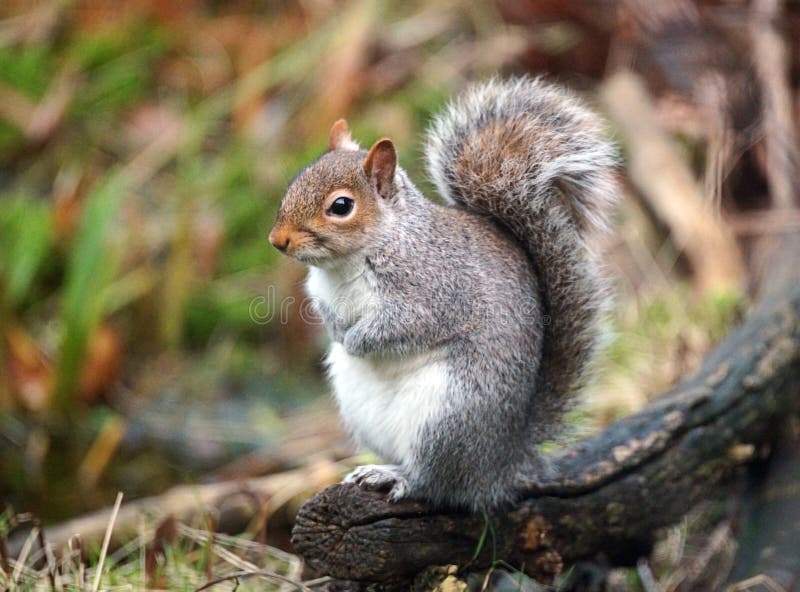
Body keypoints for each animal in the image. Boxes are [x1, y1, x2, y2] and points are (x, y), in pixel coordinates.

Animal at [268, 77, 619, 511]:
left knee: (440, 483)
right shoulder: (323, 293)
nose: (278, 240)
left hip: (448, 417)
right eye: (295, 182)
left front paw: (357, 341)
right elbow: (329, 314)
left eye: (342, 206)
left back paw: (399, 478)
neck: (346, 264)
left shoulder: (437, 292)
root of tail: (501, 463)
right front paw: (339, 334)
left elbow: (403, 327)